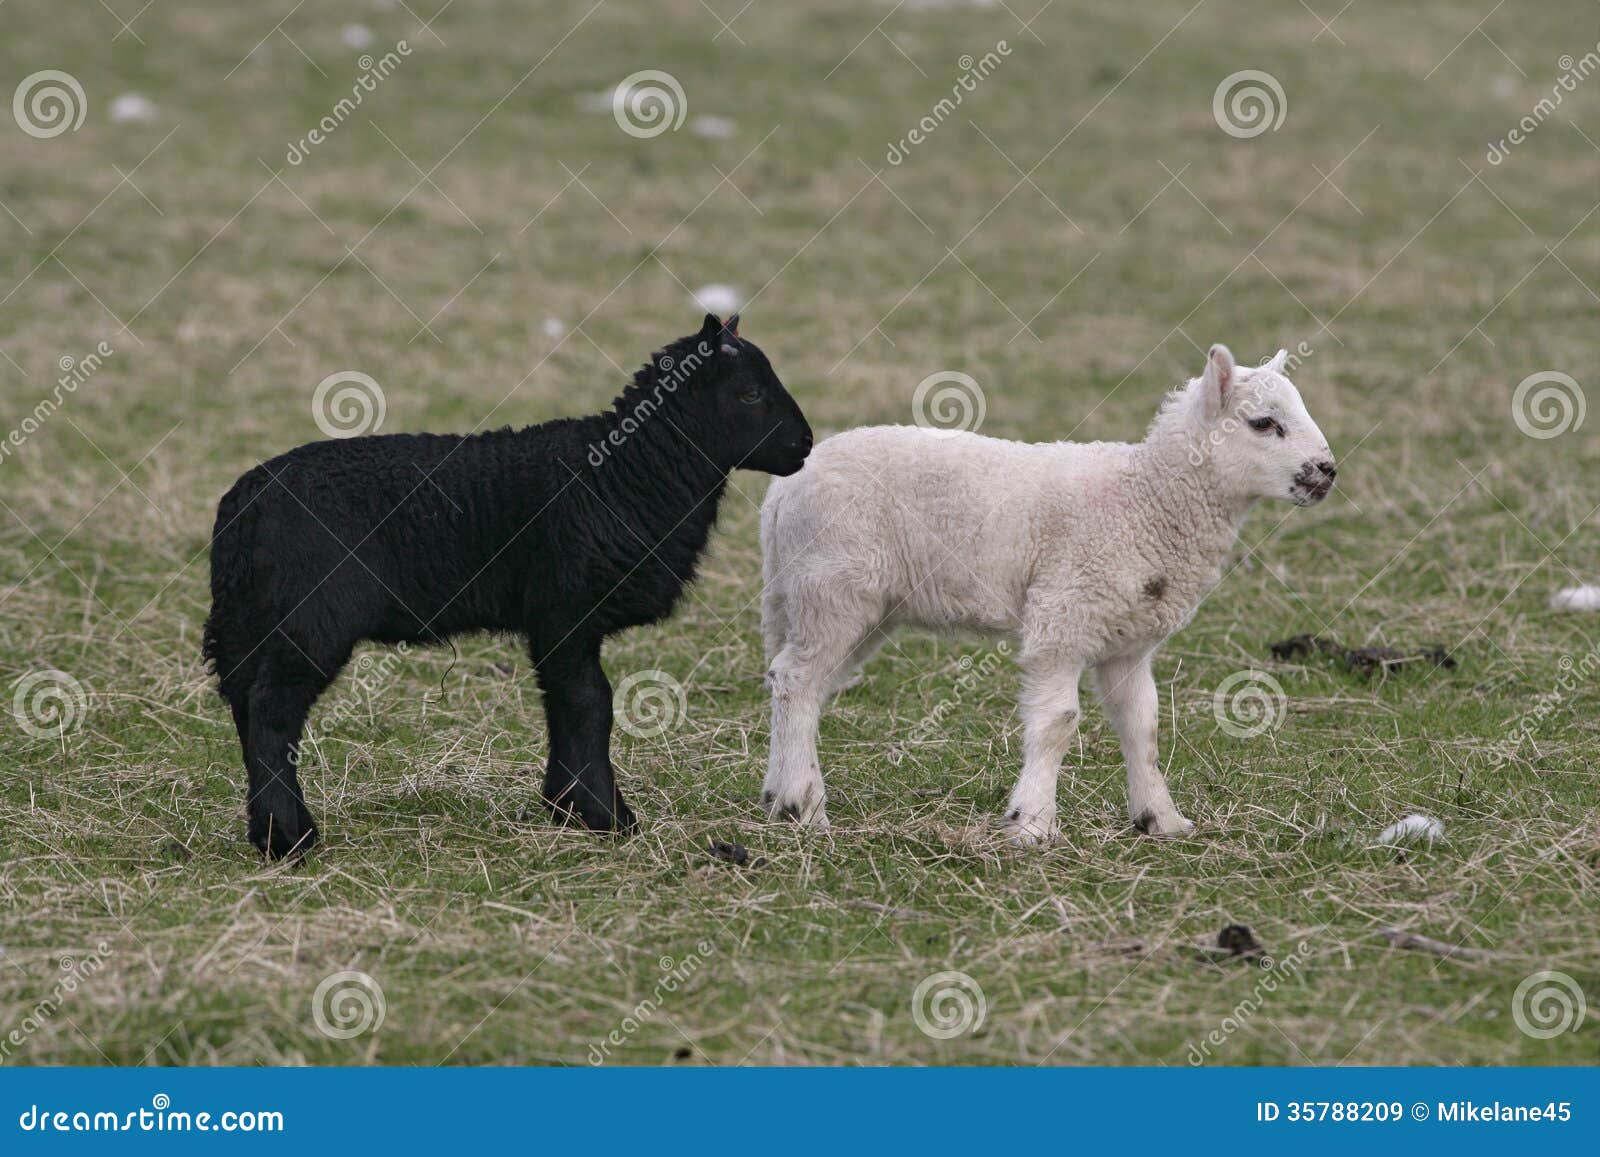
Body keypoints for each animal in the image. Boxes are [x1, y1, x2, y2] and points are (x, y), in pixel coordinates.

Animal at [205, 313, 812, 858]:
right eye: (750, 394)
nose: (805, 444)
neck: (621, 476)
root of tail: (243, 503)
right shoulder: (564, 610)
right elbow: (590, 703)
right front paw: (606, 816)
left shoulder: (556, 622)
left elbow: (565, 704)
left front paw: (567, 807)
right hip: (312, 618)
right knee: (271, 711)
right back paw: (288, 839)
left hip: (253, 620)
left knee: (245, 704)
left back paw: (270, 827)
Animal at [759, 344, 1335, 843]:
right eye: (1264, 423)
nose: (1327, 472)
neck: (1147, 499)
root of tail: (782, 491)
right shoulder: (1064, 616)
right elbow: (1058, 723)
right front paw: (1032, 823)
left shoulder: (1128, 641)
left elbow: (1143, 726)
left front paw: (1160, 819)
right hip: (834, 585)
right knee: (798, 680)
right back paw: (804, 806)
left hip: (839, 600)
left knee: (798, 681)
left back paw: (779, 795)